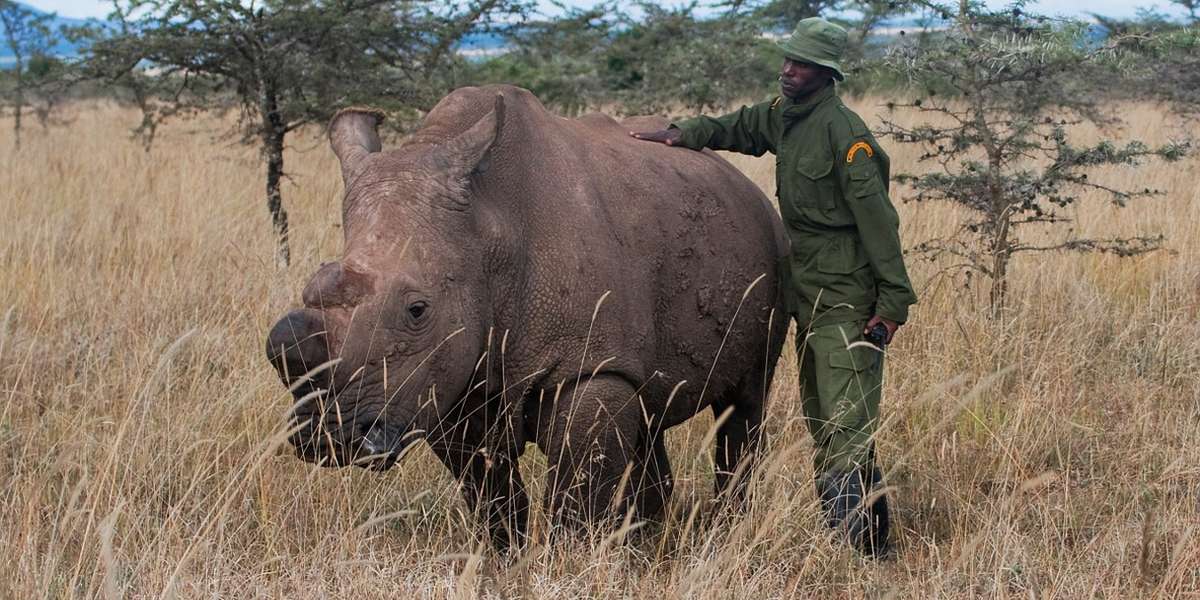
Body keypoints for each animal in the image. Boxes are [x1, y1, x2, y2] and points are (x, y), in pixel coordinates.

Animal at [266, 85, 788, 549]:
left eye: (417, 310)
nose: (325, 440)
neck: (487, 233)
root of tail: (742, 183)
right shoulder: (449, 381)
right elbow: (489, 493)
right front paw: (505, 561)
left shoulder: (588, 366)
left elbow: (578, 493)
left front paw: (570, 564)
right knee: (648, 411)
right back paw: (646, 544)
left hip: (773, 245)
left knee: (745, 402)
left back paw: (723, 533)